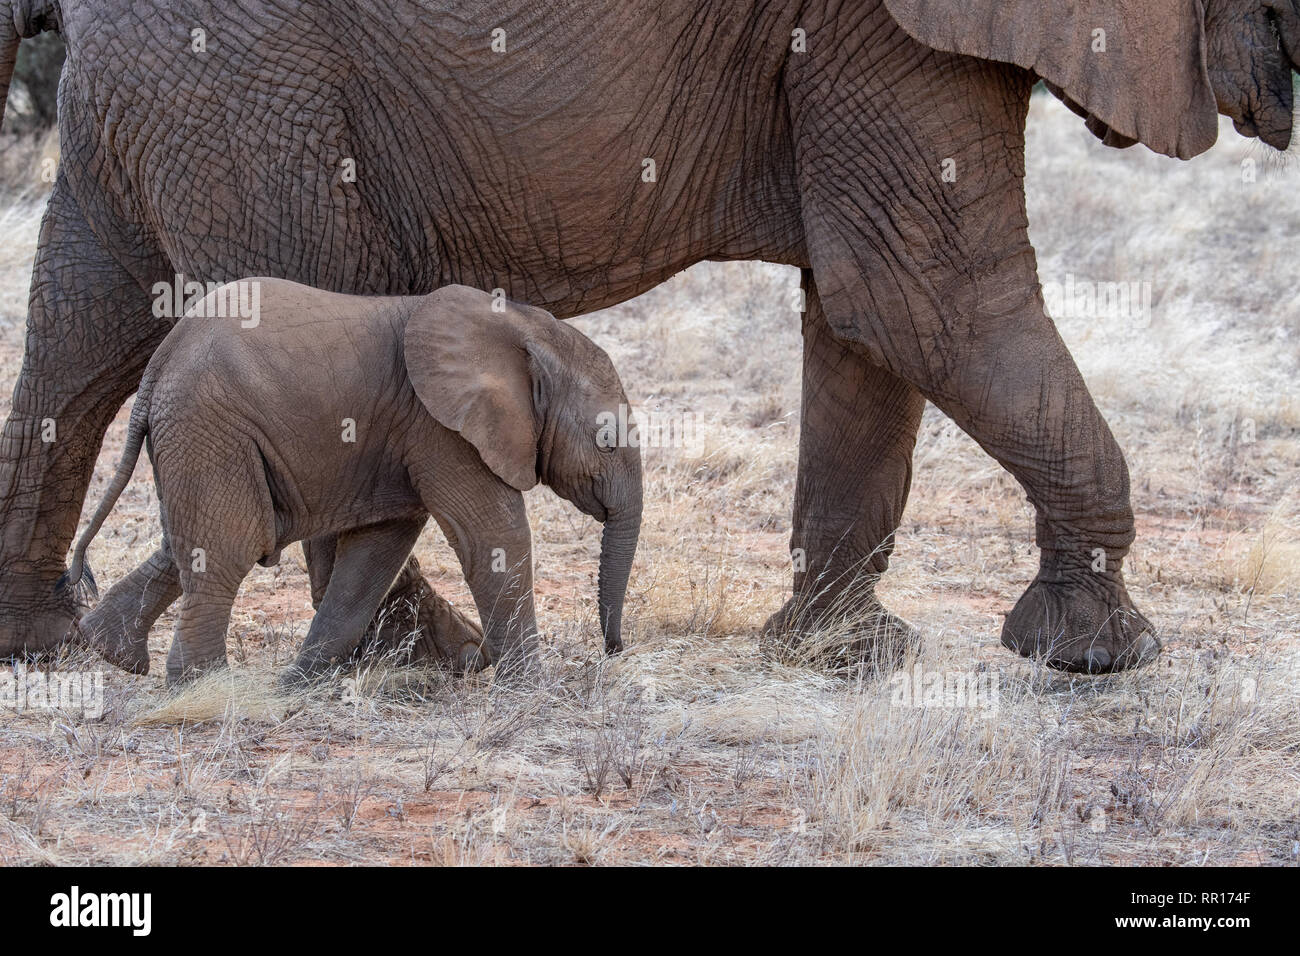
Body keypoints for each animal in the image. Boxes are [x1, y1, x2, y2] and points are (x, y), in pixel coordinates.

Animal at [59, 281, 644, 685]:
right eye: (606, 440)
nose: (614, 650)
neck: (521, 328)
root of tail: (155, 368)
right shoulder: (441, 429)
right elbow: (494, 538)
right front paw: (532, 689)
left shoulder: (406, 436)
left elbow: (374, 554)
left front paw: (299, 685)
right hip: (210, 426)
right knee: (228, 547)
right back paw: (205, 689)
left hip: (197, 435)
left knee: (185, 544)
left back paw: (111, 653)